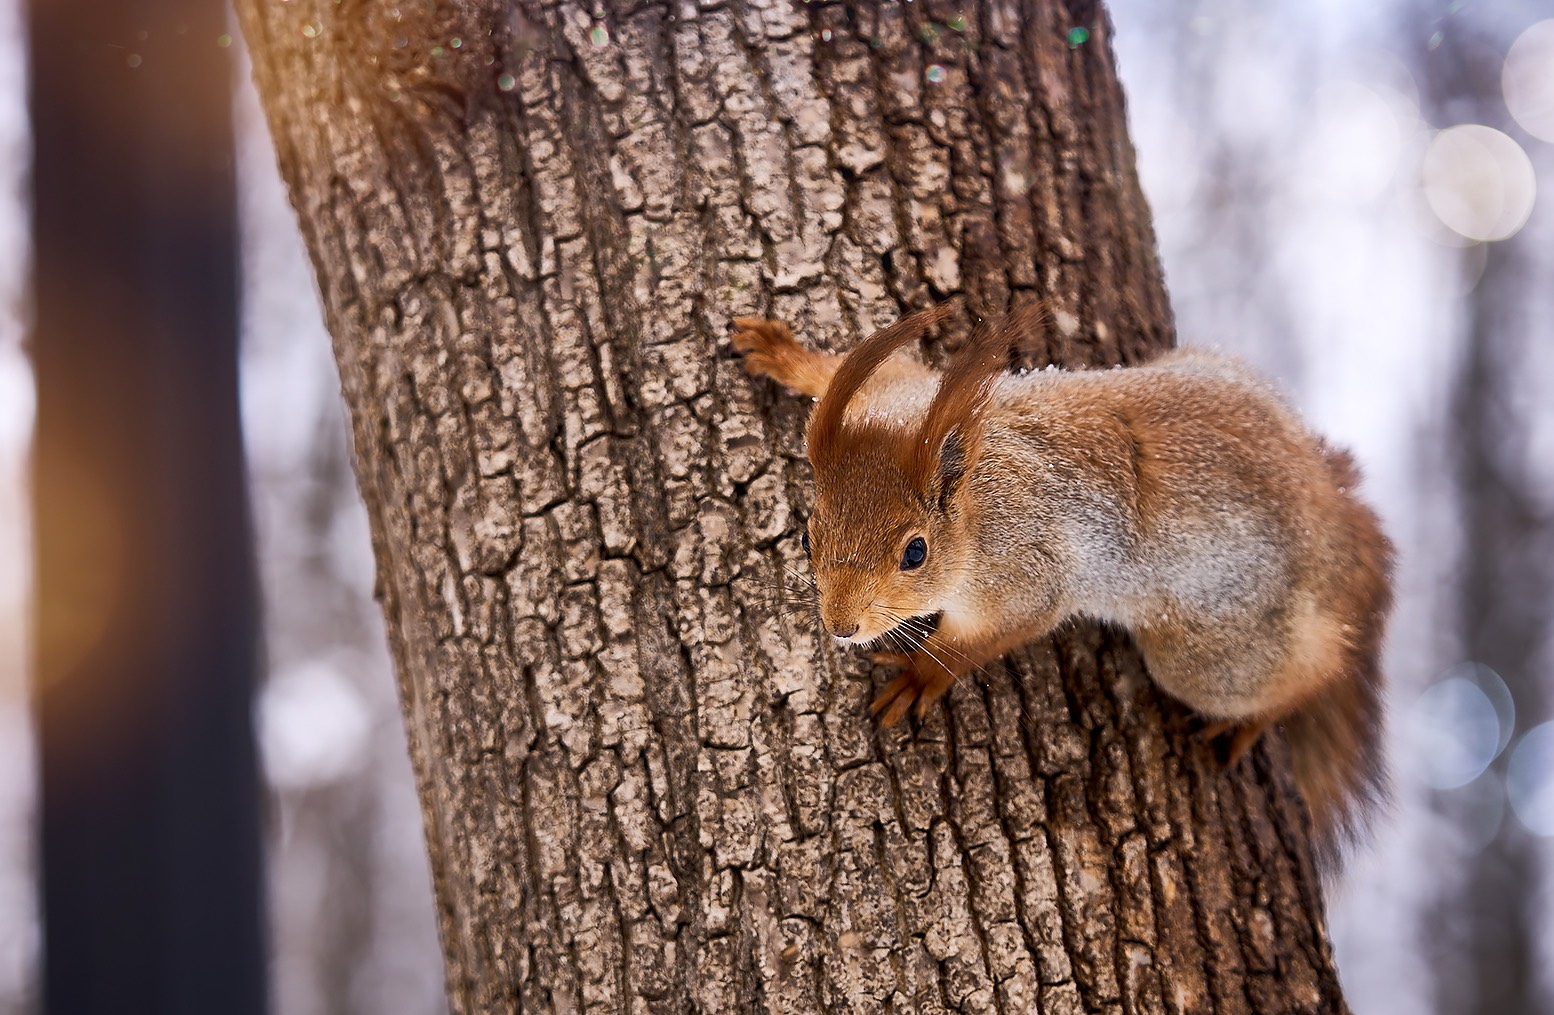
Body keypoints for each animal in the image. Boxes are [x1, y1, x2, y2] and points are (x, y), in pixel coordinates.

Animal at [730, 298, 1398, 858]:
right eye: (808, 536)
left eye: (915, 553)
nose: (842, 626)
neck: (977, 493)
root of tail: (1332, 524)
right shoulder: (901, 396)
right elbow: (861, 372)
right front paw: (782, 353)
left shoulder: (1027, 579)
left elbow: (982, 641)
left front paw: (921, 674)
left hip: (1208, 657)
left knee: (1303, 671)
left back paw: (1255, 714)